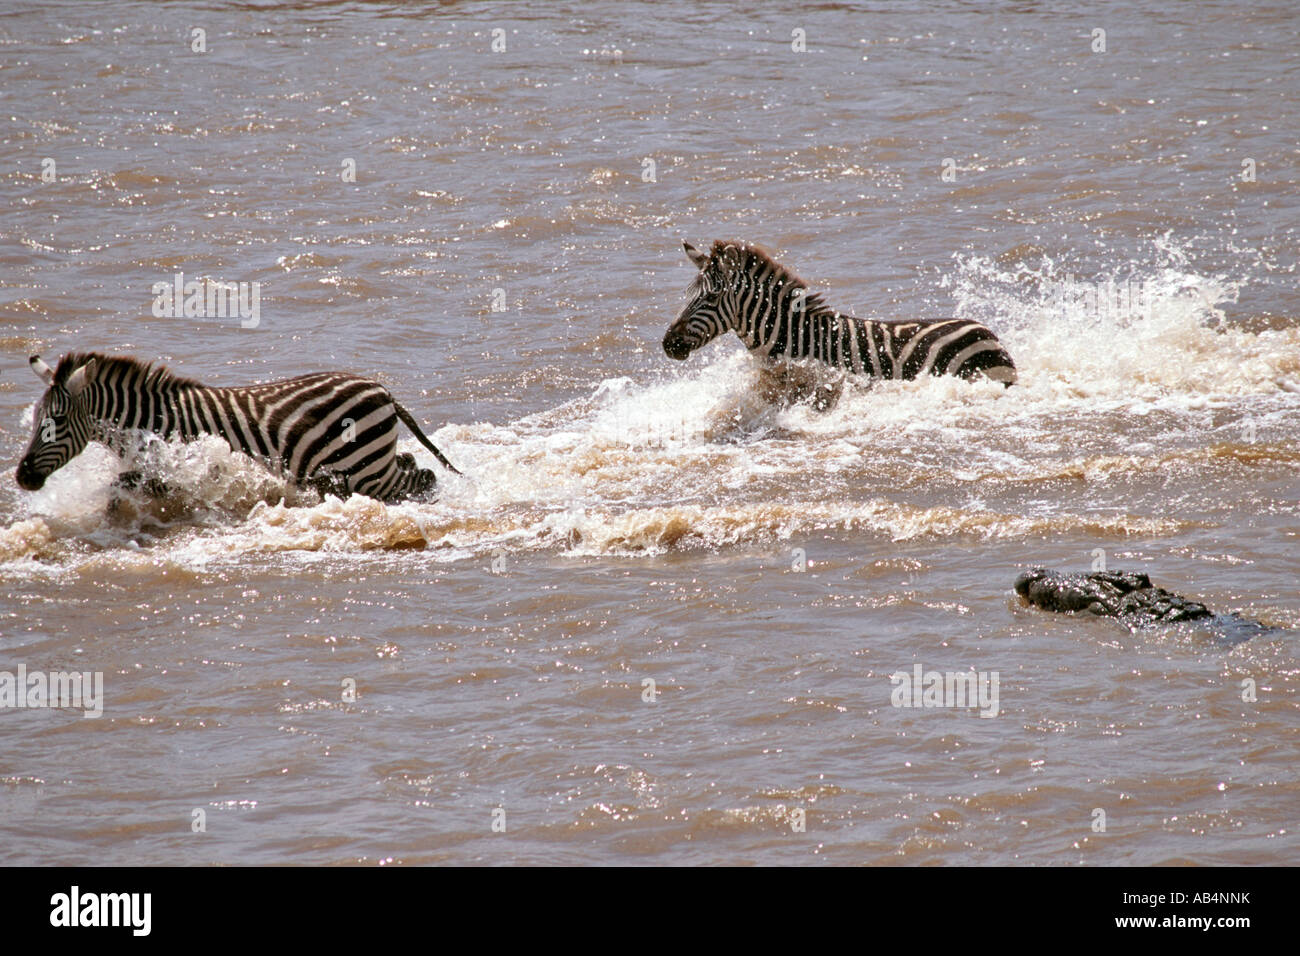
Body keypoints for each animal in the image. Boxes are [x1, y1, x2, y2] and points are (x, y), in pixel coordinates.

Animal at [14, 352, 461, 503]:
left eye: (55, 423)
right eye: (35, 422)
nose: (21, 476)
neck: (150, 423)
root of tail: (381, 388)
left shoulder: (181, 469)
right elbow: (117, 489)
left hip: (362, 468)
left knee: (421, 479)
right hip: (358, 467)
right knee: (412, 467)